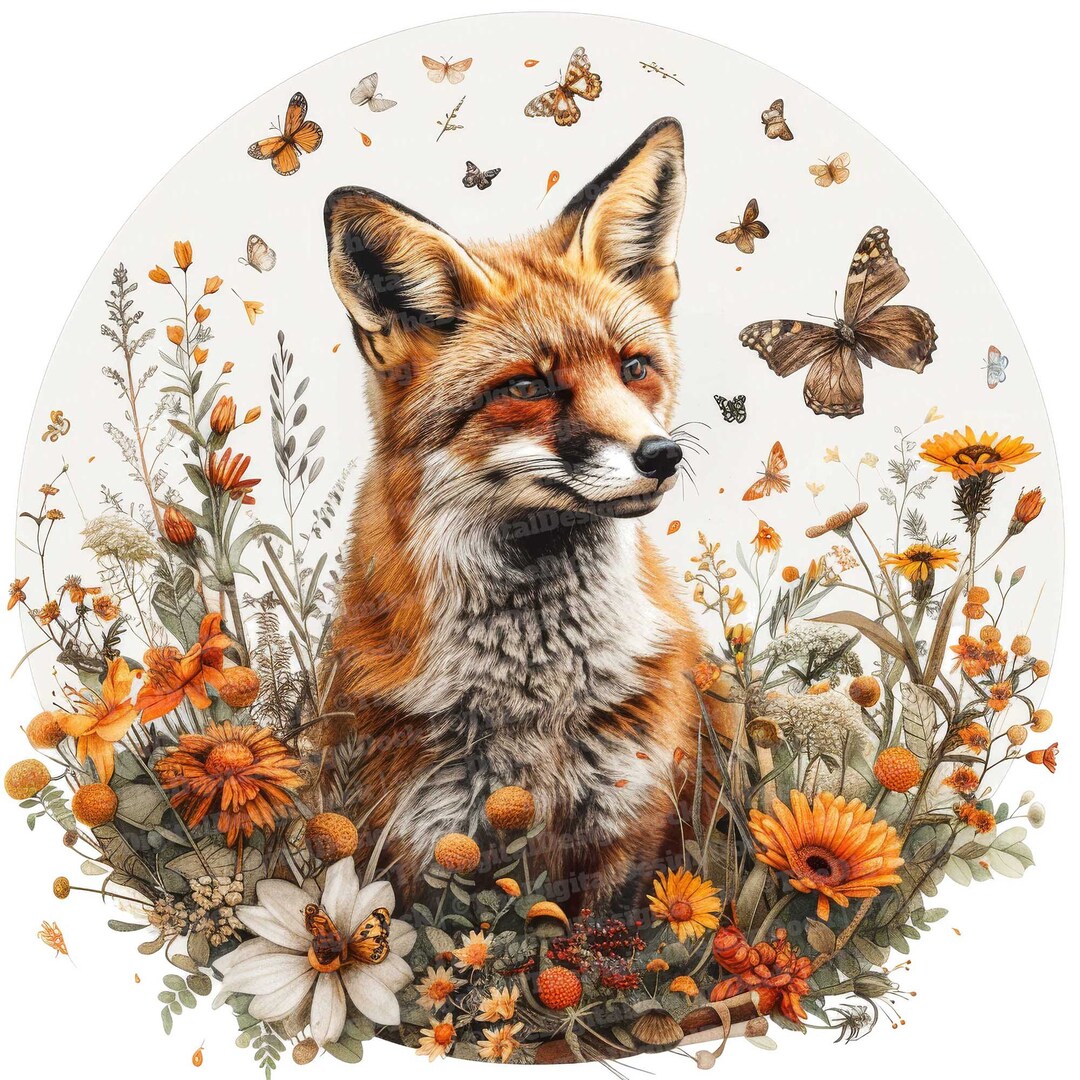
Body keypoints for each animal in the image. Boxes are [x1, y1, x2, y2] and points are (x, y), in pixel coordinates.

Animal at [318, 117, 732, 914]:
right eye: (528, 387)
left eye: (634, 368)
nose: (662, 455)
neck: (538, 698)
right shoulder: (422, 845)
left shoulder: (628, 829)